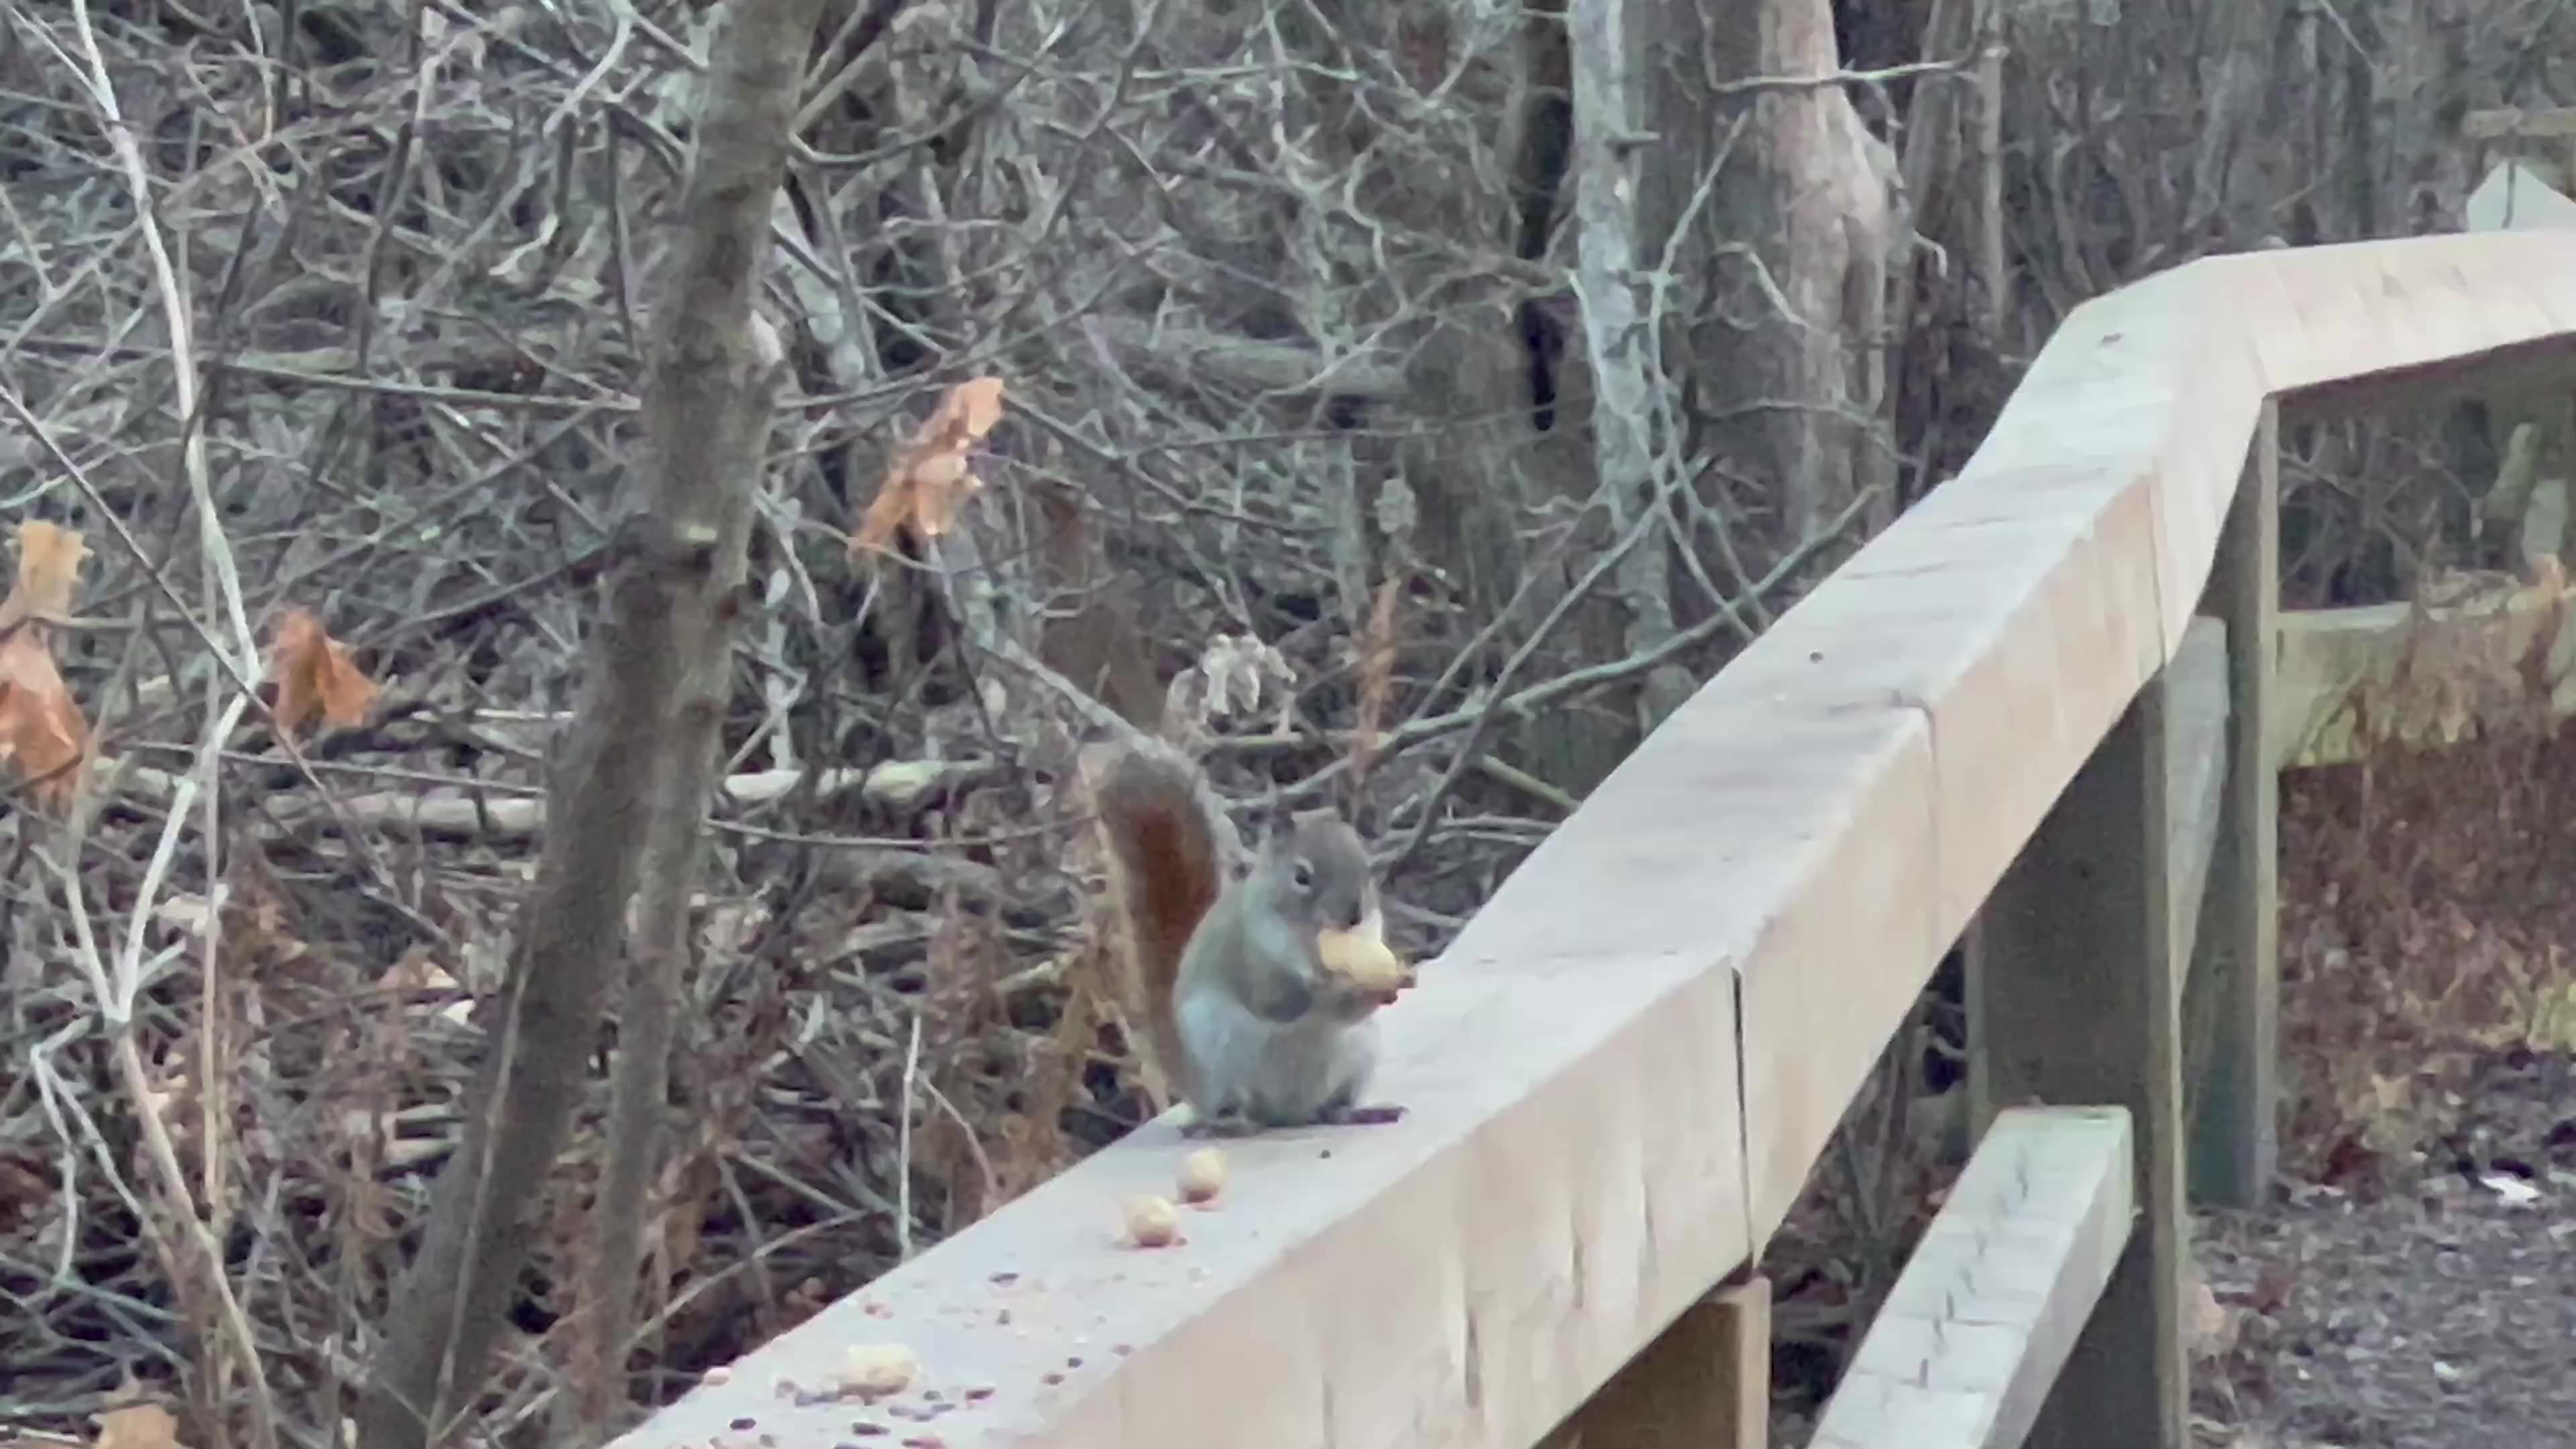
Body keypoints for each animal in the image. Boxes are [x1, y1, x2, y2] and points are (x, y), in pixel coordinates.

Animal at [1090, 741, 1412, 1137]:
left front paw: (1391, 984)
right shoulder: (1252, 957)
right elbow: (1277, 1001)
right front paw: (1326, 989)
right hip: (1220, 1058)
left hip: (1359, 1055)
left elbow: (1350, 1013)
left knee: (1329, 1109)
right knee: (1235, 1109)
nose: (1354, 915)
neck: (1312, 941)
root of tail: (1289, 1115)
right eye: (1302, 876)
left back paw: (1355, 1113)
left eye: (1366, 868)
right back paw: (1230, 1123)